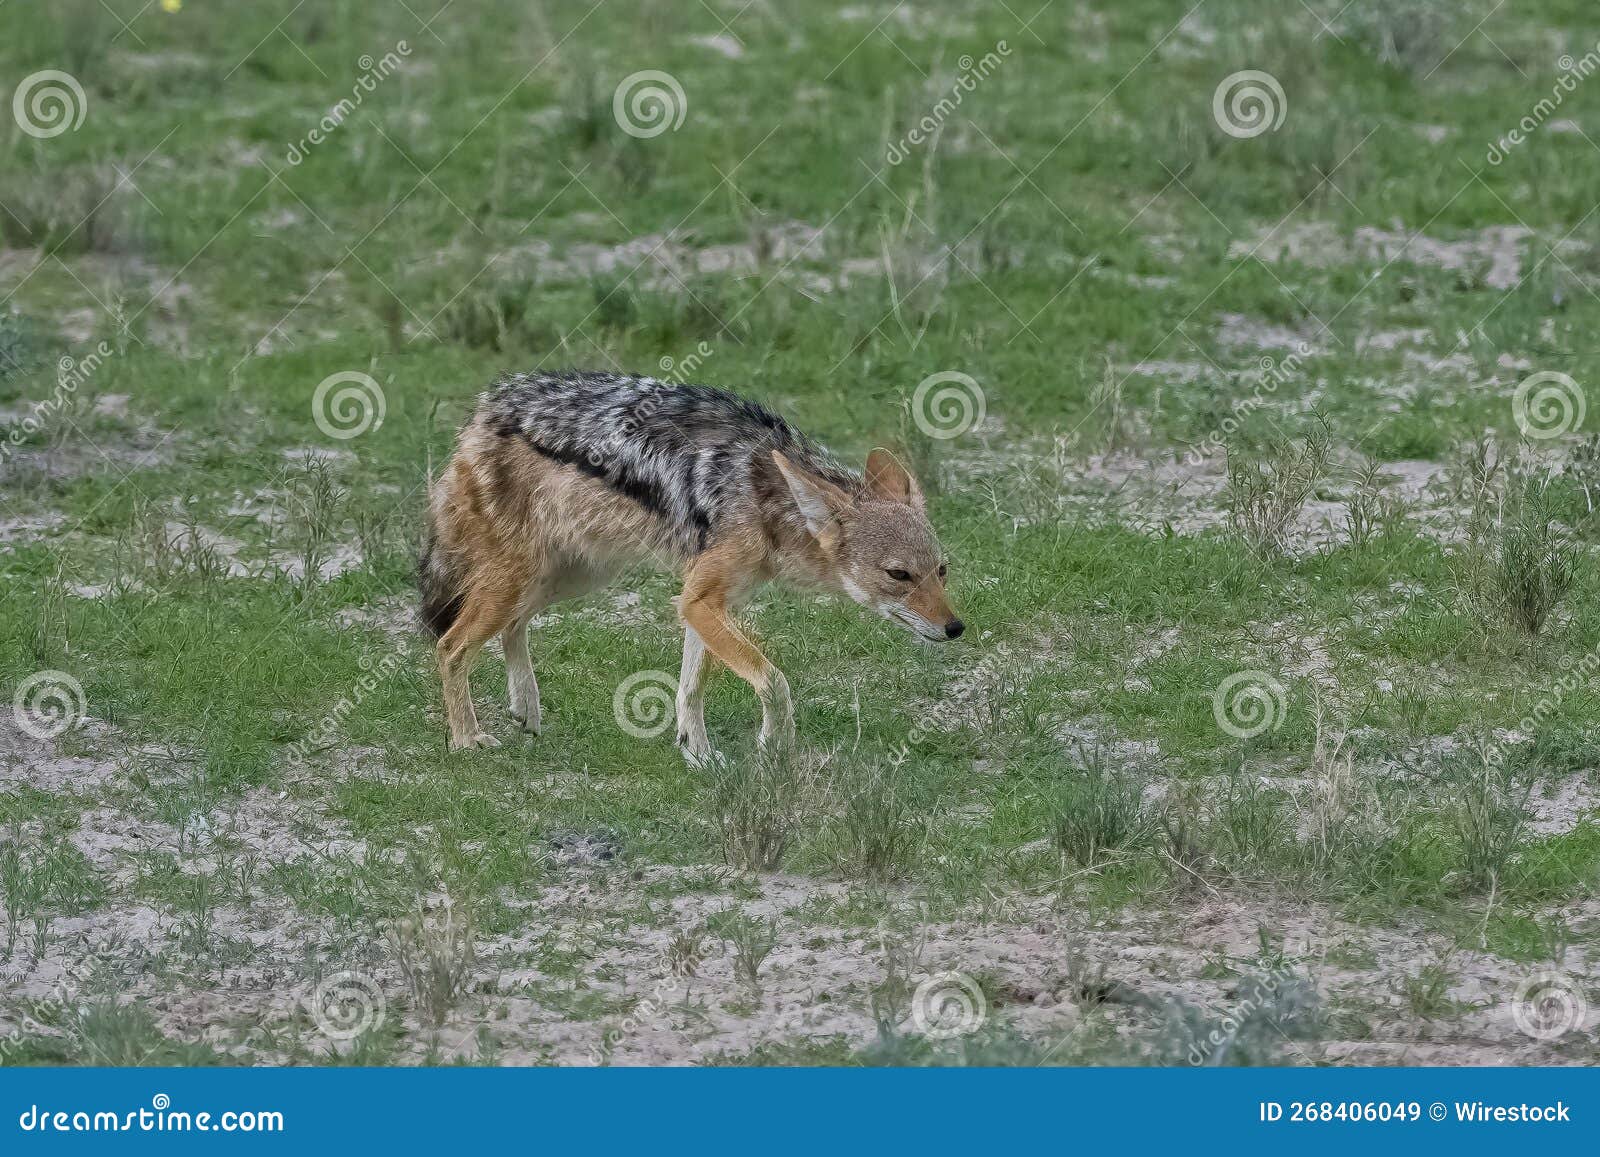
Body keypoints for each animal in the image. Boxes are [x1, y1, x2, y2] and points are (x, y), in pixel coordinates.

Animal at [419, 369, 963, 761]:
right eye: (899, 575)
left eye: (941, 571)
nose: (956, 628)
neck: (766, 499)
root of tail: (482, 409)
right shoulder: (701, 600)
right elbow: (774, 682)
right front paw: (773, 743)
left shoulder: (704, 603)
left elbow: (689, 690)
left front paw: (698, 754)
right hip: (525, 579)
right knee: (451, 647)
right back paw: (467, 739)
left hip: (572, 577)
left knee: (511, 628)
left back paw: (526, 710)